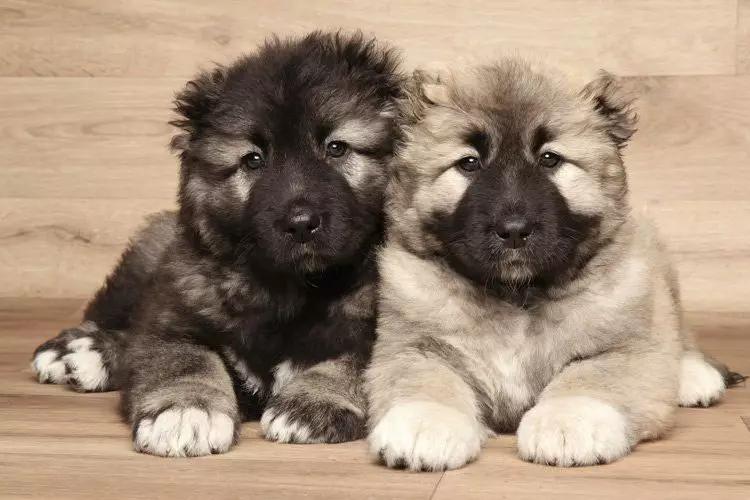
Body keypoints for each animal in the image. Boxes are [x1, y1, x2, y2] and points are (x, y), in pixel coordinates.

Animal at [33, 29, 406, 456]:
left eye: (336, 147)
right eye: (253, 160)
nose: (300, 224)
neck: (292, 290)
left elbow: (355, 361)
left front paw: (314, 401)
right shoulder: (176, 318)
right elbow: (182, 357)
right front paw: (185, 411)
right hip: (146, 258)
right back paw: (78, 351)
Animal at [366, 60, 748, 470]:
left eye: (550, 159)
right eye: (469, 163)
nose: (513, 230)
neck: (516, 295)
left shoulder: (622, 349)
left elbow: (590, 378)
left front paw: (568, 422)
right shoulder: (411, 346)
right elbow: (424, 380)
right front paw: (423, 423)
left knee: (677, 331)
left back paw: (694, 375)